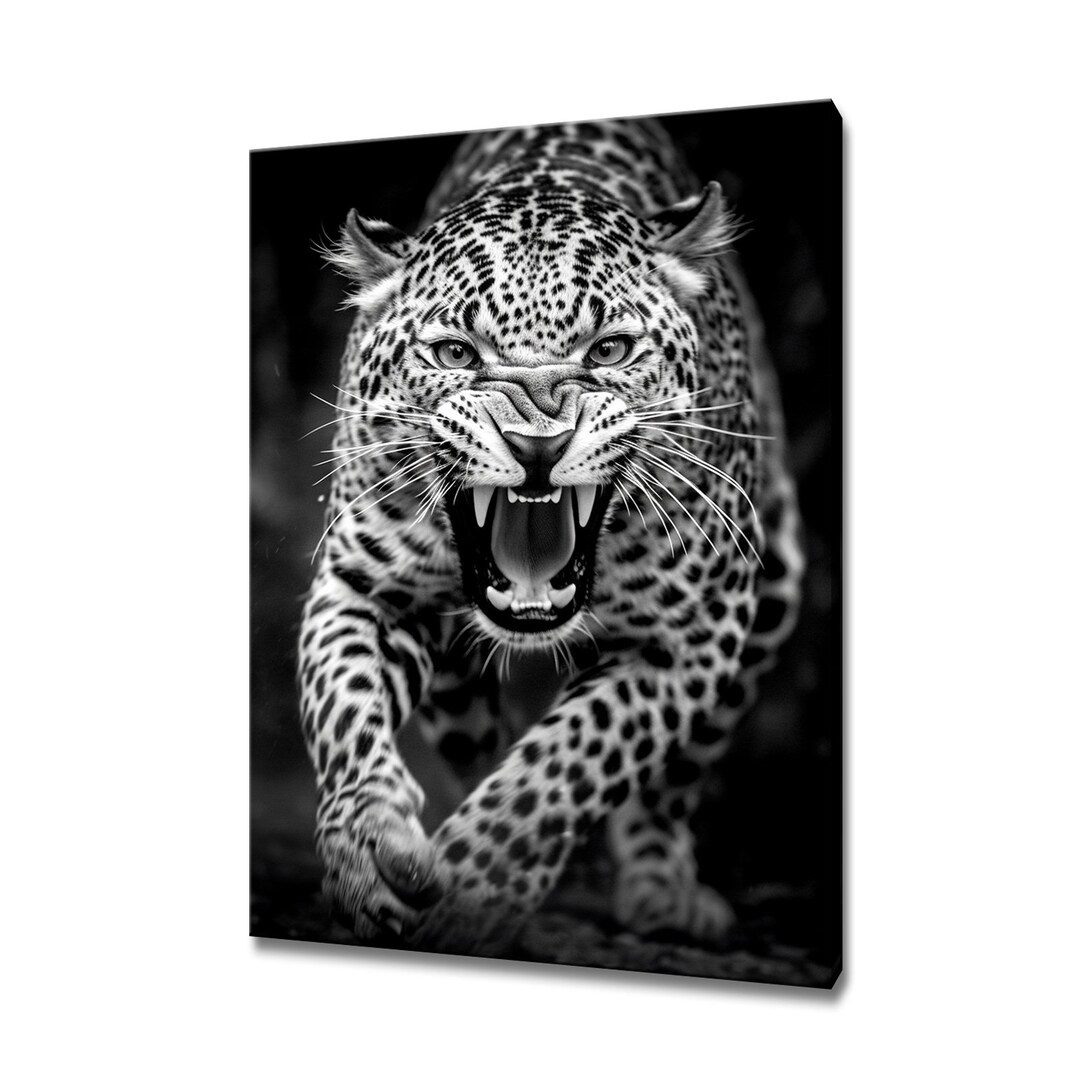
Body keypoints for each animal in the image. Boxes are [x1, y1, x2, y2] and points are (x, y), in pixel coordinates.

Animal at [298, 118, 804, 957]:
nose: (538, 442)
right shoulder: (365, 586)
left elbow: (568, 762)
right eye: (456, 353)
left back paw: (663, 889)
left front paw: (474, 883)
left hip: (774, 593)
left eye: (609, 350)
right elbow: (341, 709)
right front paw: (371, 851)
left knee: (670, 785)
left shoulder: (691, 634)